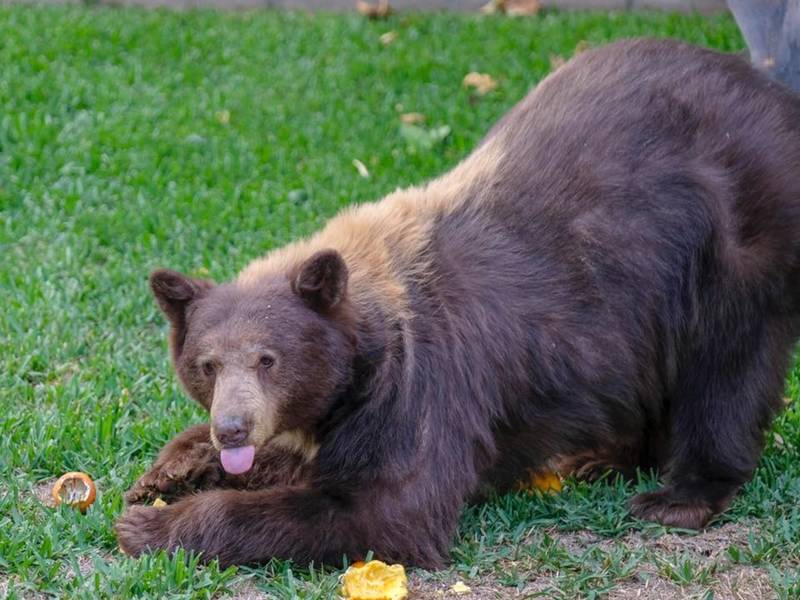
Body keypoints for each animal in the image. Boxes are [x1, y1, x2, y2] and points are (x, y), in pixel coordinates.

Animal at [116, 38, 800, 568]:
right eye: (207, 365)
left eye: (268, 358)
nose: (232, 426)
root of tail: (775, 96)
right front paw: (167, 470)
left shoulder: (427, 382)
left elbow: (387, 507)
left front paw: (152, 527)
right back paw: (602, 458)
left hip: (737, 235)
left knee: (728, 366)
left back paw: (679, 494)